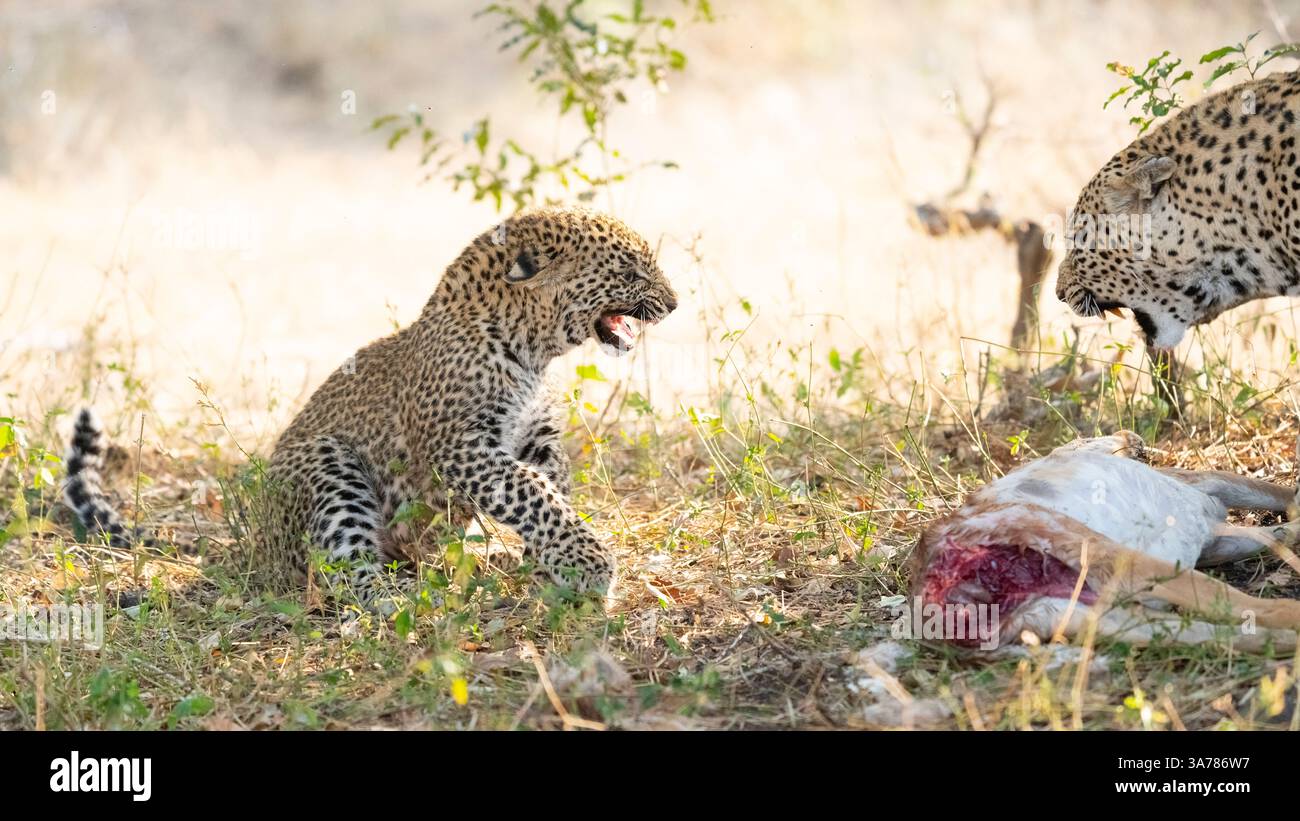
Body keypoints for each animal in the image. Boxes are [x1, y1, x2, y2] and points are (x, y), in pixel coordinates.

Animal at [64, 206, 678, 613]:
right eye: (631, 270)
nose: (674, 305)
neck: (534, 347)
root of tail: (257, 538)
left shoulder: (536, 438)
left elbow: (553, 492)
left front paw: (546, 565)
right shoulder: (462, 445)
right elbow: (532, 495)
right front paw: (591, 565)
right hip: (327, 465)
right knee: (342, 575)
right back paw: (408, 594)